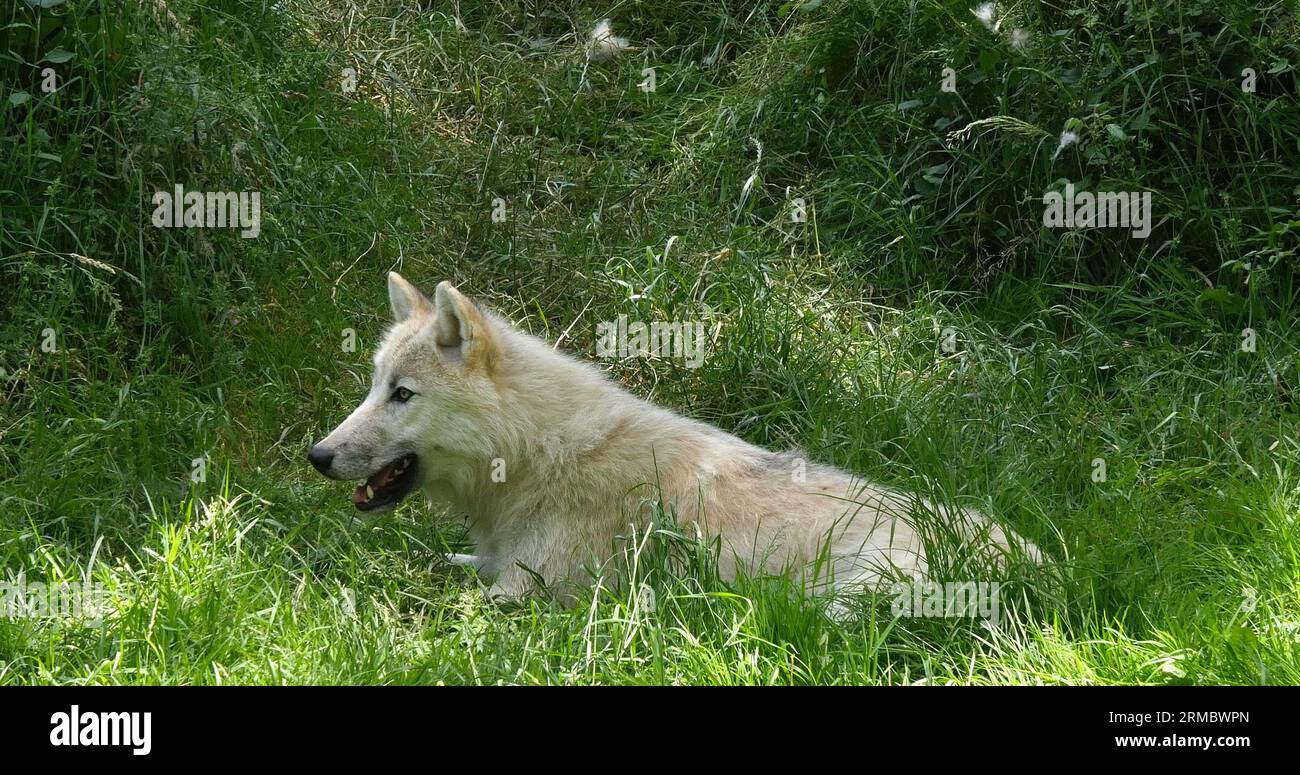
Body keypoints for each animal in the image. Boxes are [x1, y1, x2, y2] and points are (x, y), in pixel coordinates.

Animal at [308, 273, 1040, 602]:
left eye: (402, 394)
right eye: (373, 386)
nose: (317, 455)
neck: (539, 456)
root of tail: (1043, 562)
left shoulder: (523, 592)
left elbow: (431, 596)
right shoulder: (492, 561)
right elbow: (430, 562)